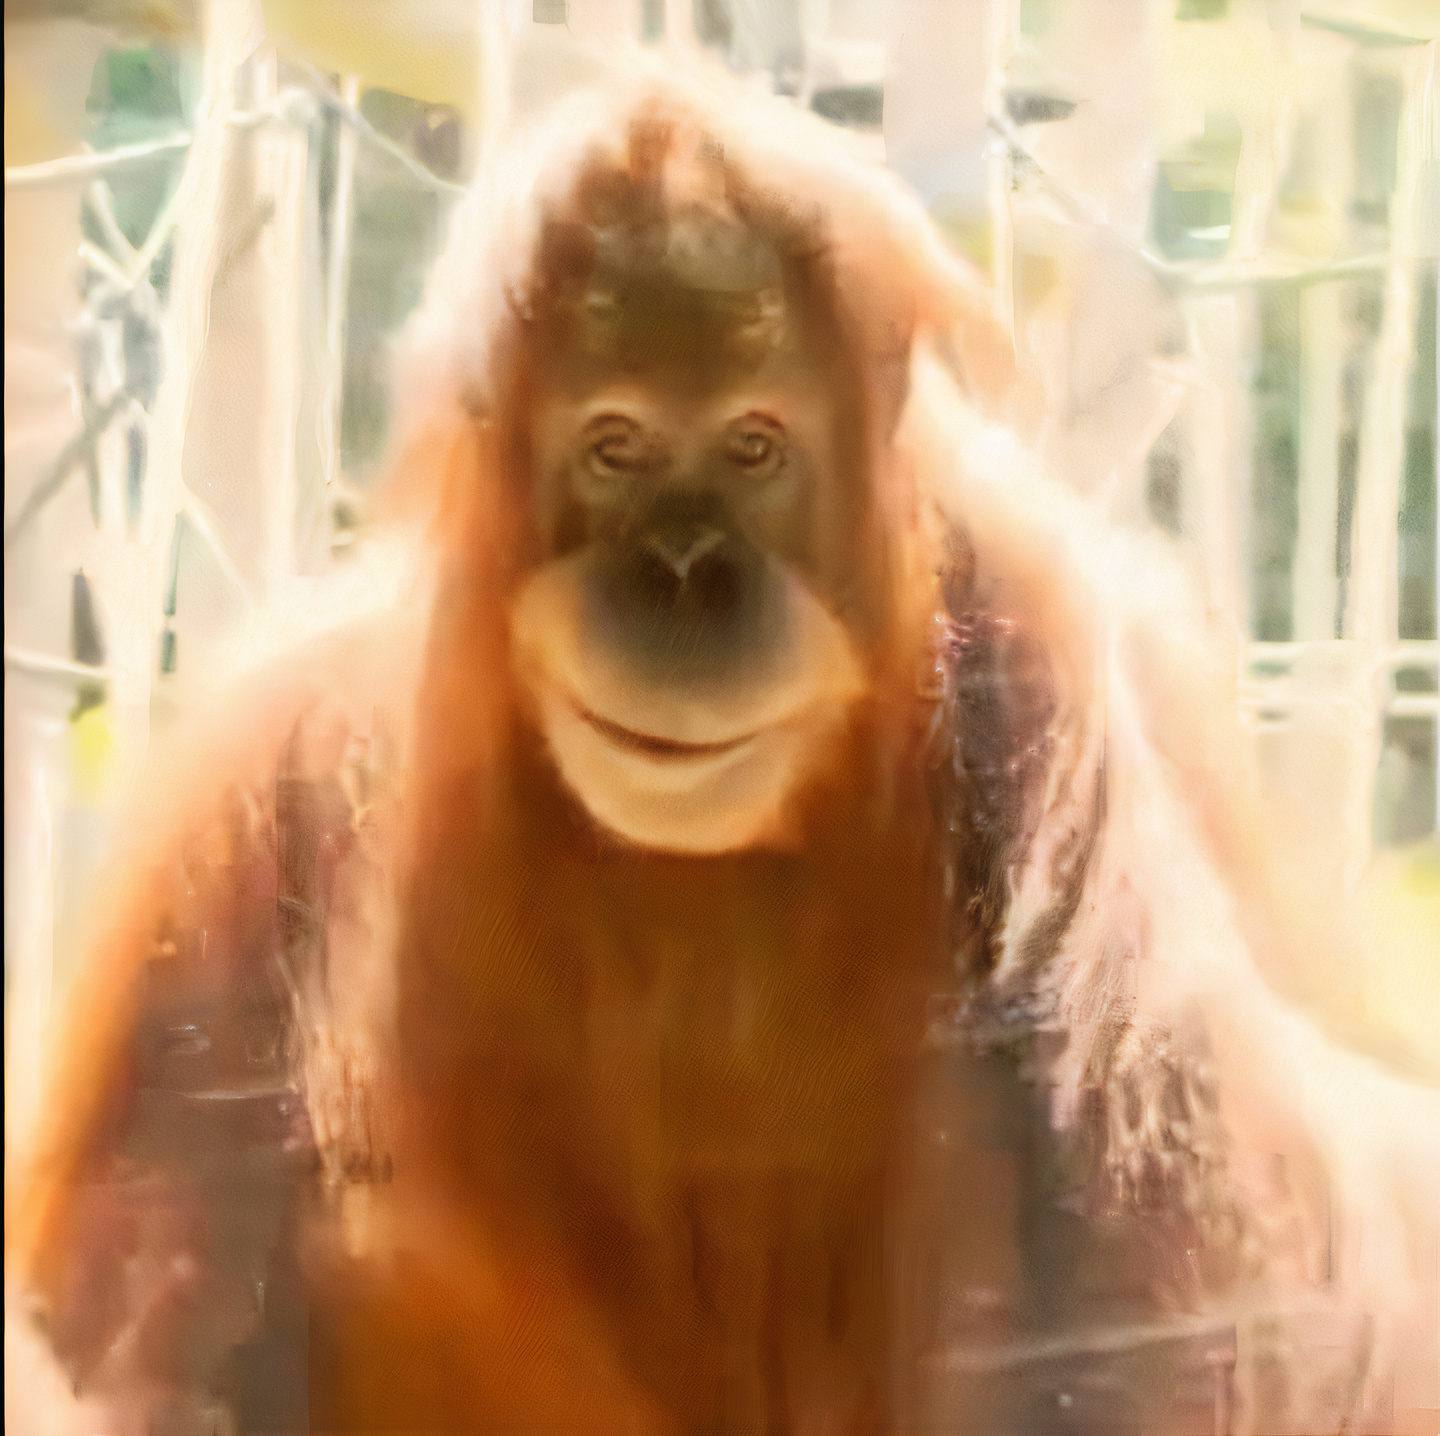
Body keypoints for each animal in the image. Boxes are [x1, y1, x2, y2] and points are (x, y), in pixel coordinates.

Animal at [8, 64, 1437, 1436]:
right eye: (616, 446)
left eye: (754, 446)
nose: (686, 567)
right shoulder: (256, 784)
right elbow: (134, 1350)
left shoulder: (1071, 677)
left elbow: (1217, 1290)